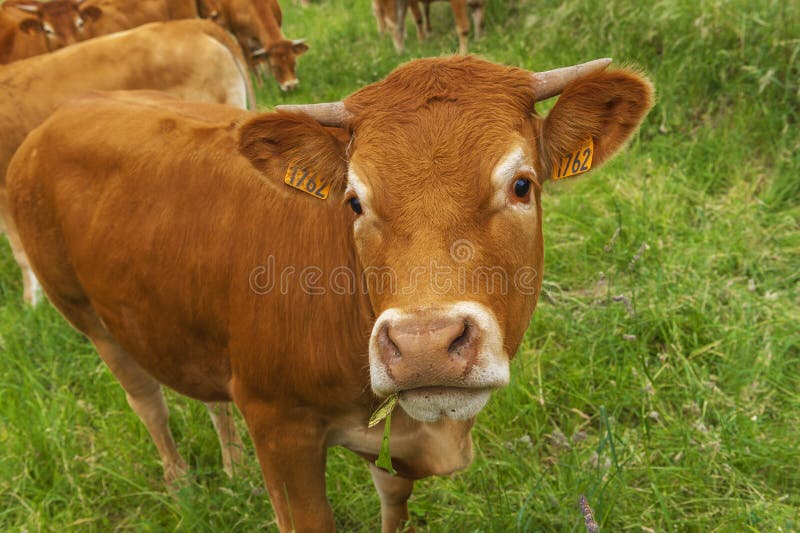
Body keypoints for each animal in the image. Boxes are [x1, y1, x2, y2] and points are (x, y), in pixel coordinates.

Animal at [7, 55, 653, 531]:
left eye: (522, 185)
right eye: (355, 201)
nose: (424, 345)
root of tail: (59, 117)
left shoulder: (391, 437)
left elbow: (393, 503)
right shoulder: (280, 428)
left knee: (208, 393)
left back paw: (231, 466)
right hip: (87, 315)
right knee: (146, 399)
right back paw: (181, 483)